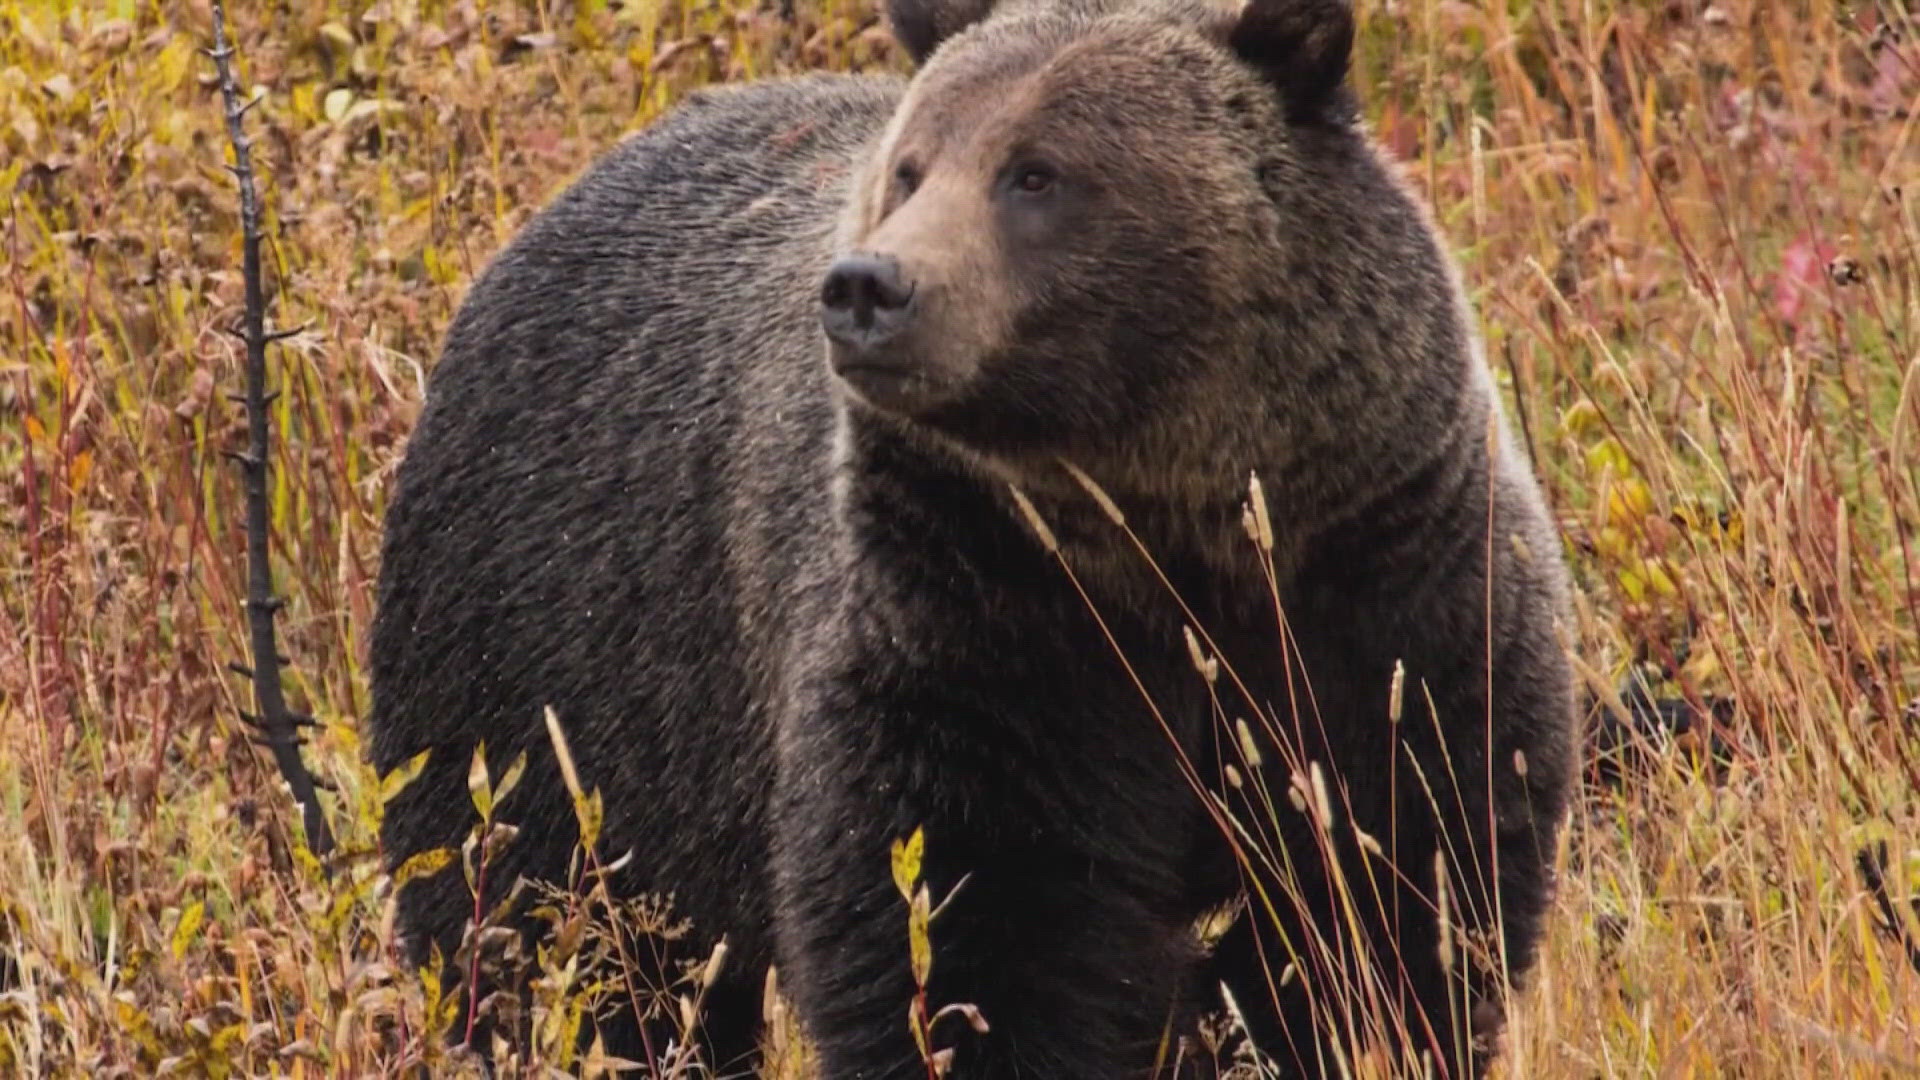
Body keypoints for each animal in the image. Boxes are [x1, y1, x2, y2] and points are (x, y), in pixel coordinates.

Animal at [365, 0, 1579, 1076]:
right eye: (912, 167)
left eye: (1036, 172)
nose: (868, 287)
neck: (1170, 534)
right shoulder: (975, 617)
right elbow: (967, 925)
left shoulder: (1382, 583)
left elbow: (1400, 880)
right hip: (550, 660)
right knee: (553, 938)